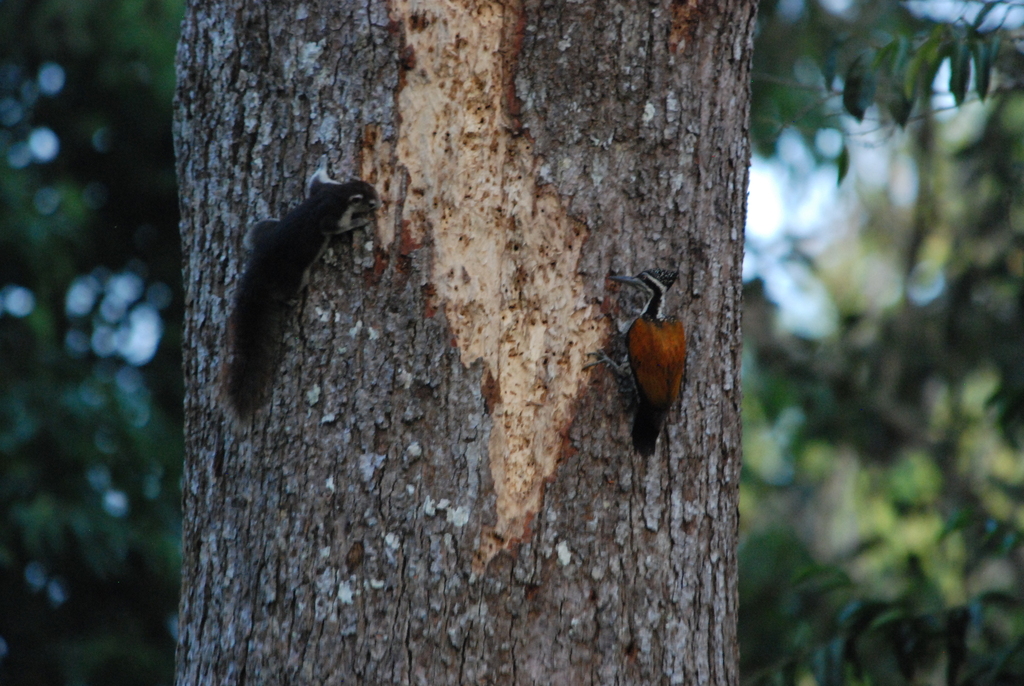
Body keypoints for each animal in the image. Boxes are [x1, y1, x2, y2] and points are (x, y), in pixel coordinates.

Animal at [223, 169, 380, 418]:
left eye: (371, 187)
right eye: (370, 202)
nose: (380, 202)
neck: (339, 194)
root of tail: (258, 269)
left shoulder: (322, 190)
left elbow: (315, 181)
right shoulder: (332, 214)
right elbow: (332, 227)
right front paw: (358, 221)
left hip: (266, 228)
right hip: (295, 277)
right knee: (283, 292)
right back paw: (291, 300)